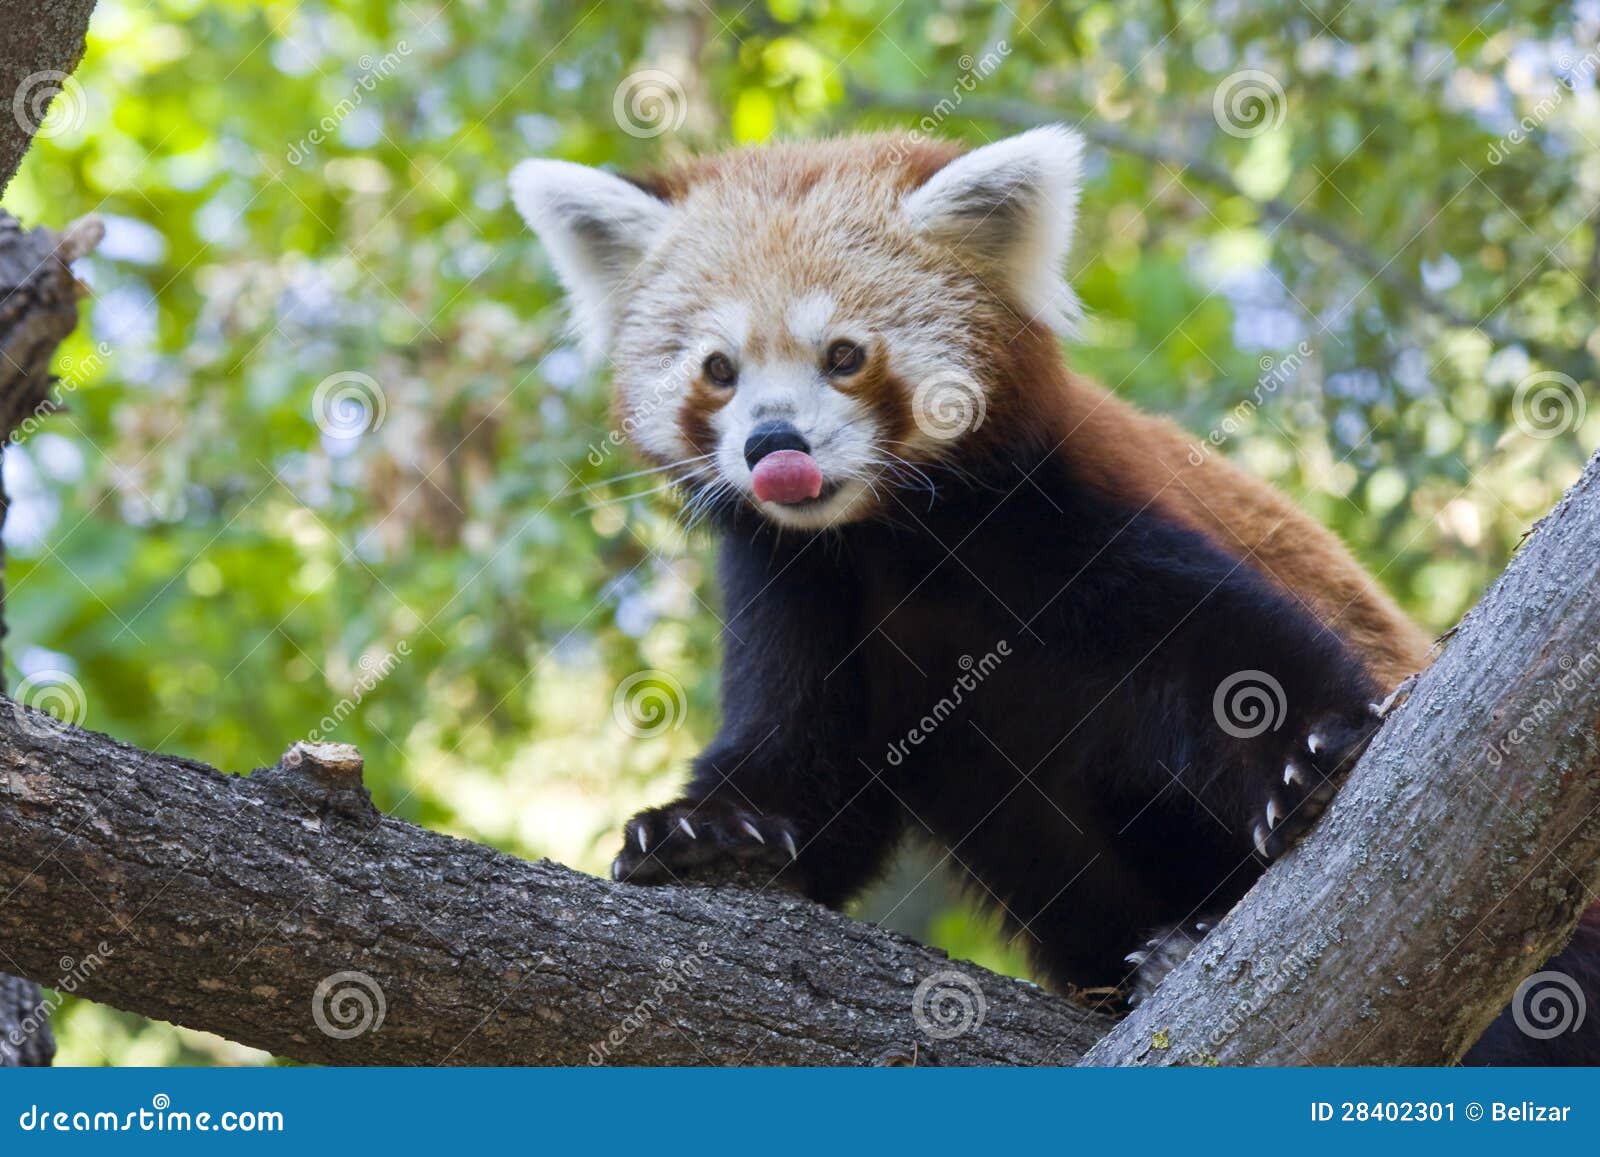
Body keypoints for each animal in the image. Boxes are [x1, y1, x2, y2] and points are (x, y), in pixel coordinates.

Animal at [509, 126, 1597, 1065]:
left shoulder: (1066, 522)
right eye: (719, 370)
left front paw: (1310, 750)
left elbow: (1225, 651)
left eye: (844, 356)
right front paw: (706, 829)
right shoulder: (799, 581)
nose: (773, 446)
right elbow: (810, 772)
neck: (895, 541)